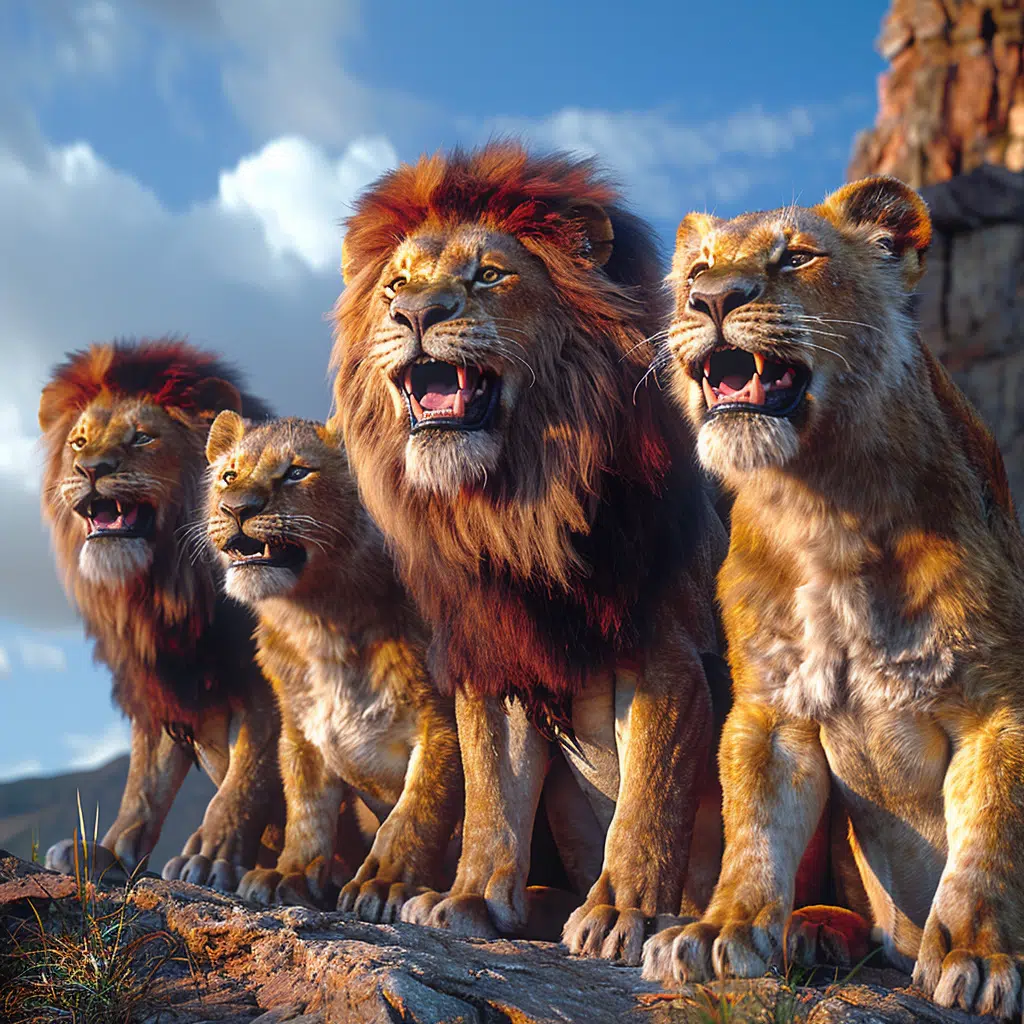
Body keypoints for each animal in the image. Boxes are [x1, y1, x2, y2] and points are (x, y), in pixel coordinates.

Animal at [39, 339, 284, 889]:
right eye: (79, 443)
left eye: (142, 438)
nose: (90, 469)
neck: (169, 587)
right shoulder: (161, 684)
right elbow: (144, 785)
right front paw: (107, 854)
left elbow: (250, 771)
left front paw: (212, 855)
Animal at [203, 411, 464, 922]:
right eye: (229, 475)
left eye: (296, 472)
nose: (235, 507)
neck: (320, 621)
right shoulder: (303, 731)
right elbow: (307, 811)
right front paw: (289, 874)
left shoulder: (442, 724)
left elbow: (418, 809)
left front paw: (385, 882)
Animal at [331, 142, 728, 963]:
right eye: (397, 284)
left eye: (488, 275)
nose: (415, 314)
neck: (518, 512)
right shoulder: (498, 664)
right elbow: (493, 797)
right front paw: (469, 900)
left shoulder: (670, 659)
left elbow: (649, 800)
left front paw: (623, 913)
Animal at [641, 175, 1024, 1018]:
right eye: (698, 269)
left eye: (798, 257)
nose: (712, 298)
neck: (823, 507)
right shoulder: (770, 708)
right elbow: (754, 836)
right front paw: (719, 931)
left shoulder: (1000, 708)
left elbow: (989, 843)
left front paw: (978, 957)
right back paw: (814, 931)